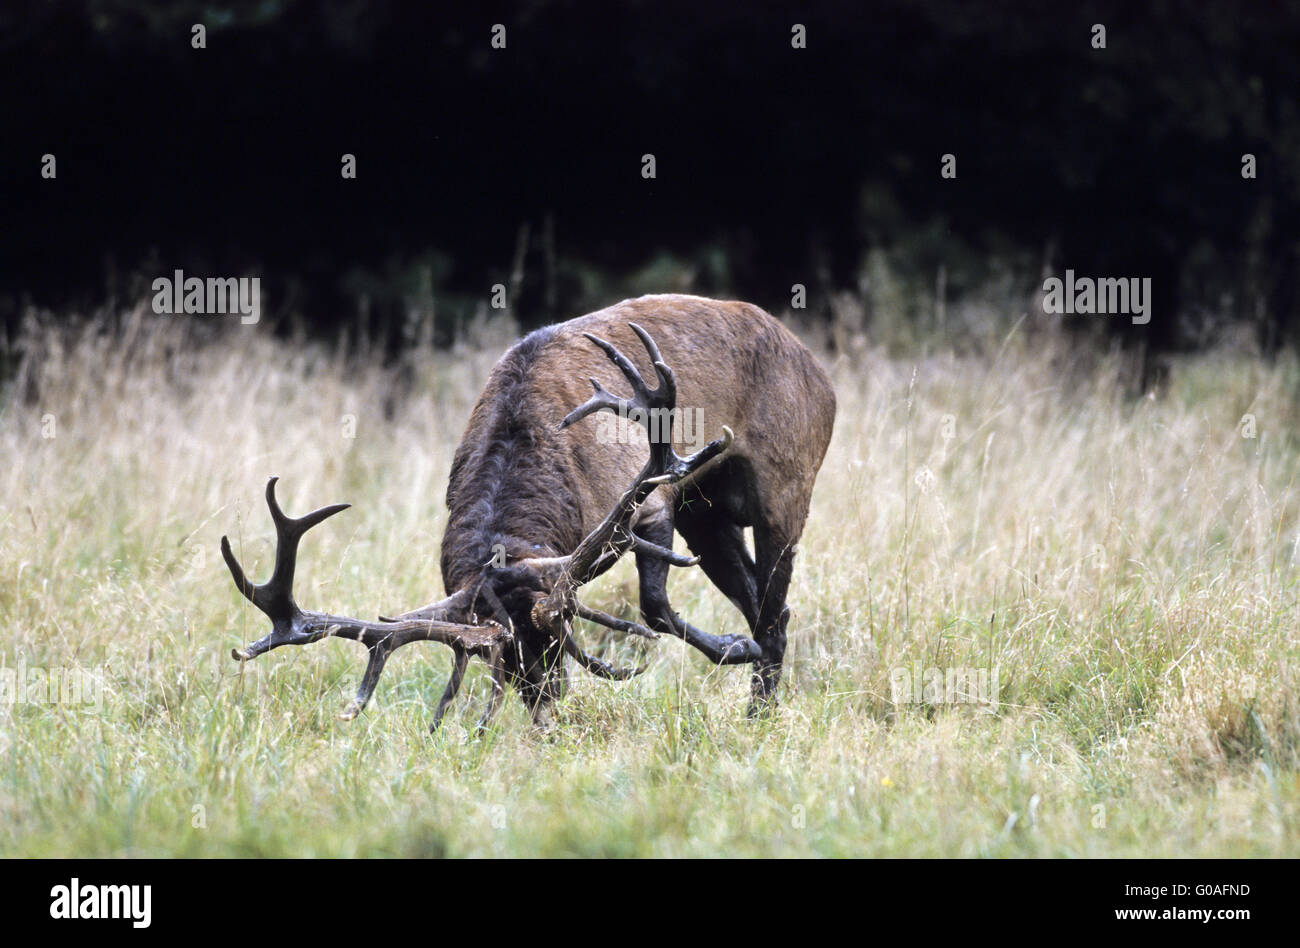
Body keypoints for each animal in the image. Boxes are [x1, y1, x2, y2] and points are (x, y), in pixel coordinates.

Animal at [222, 294, 836, 729]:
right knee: (770, 605)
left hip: (787, 483)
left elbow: (654, 605)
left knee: (772, 608)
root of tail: (819, 372)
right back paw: (758, 703)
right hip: (706, 515)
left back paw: (759, 706)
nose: (549, 710)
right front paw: (732, 647)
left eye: (560, 638)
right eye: (508, 664)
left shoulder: (653, 497)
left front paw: (731, 648)